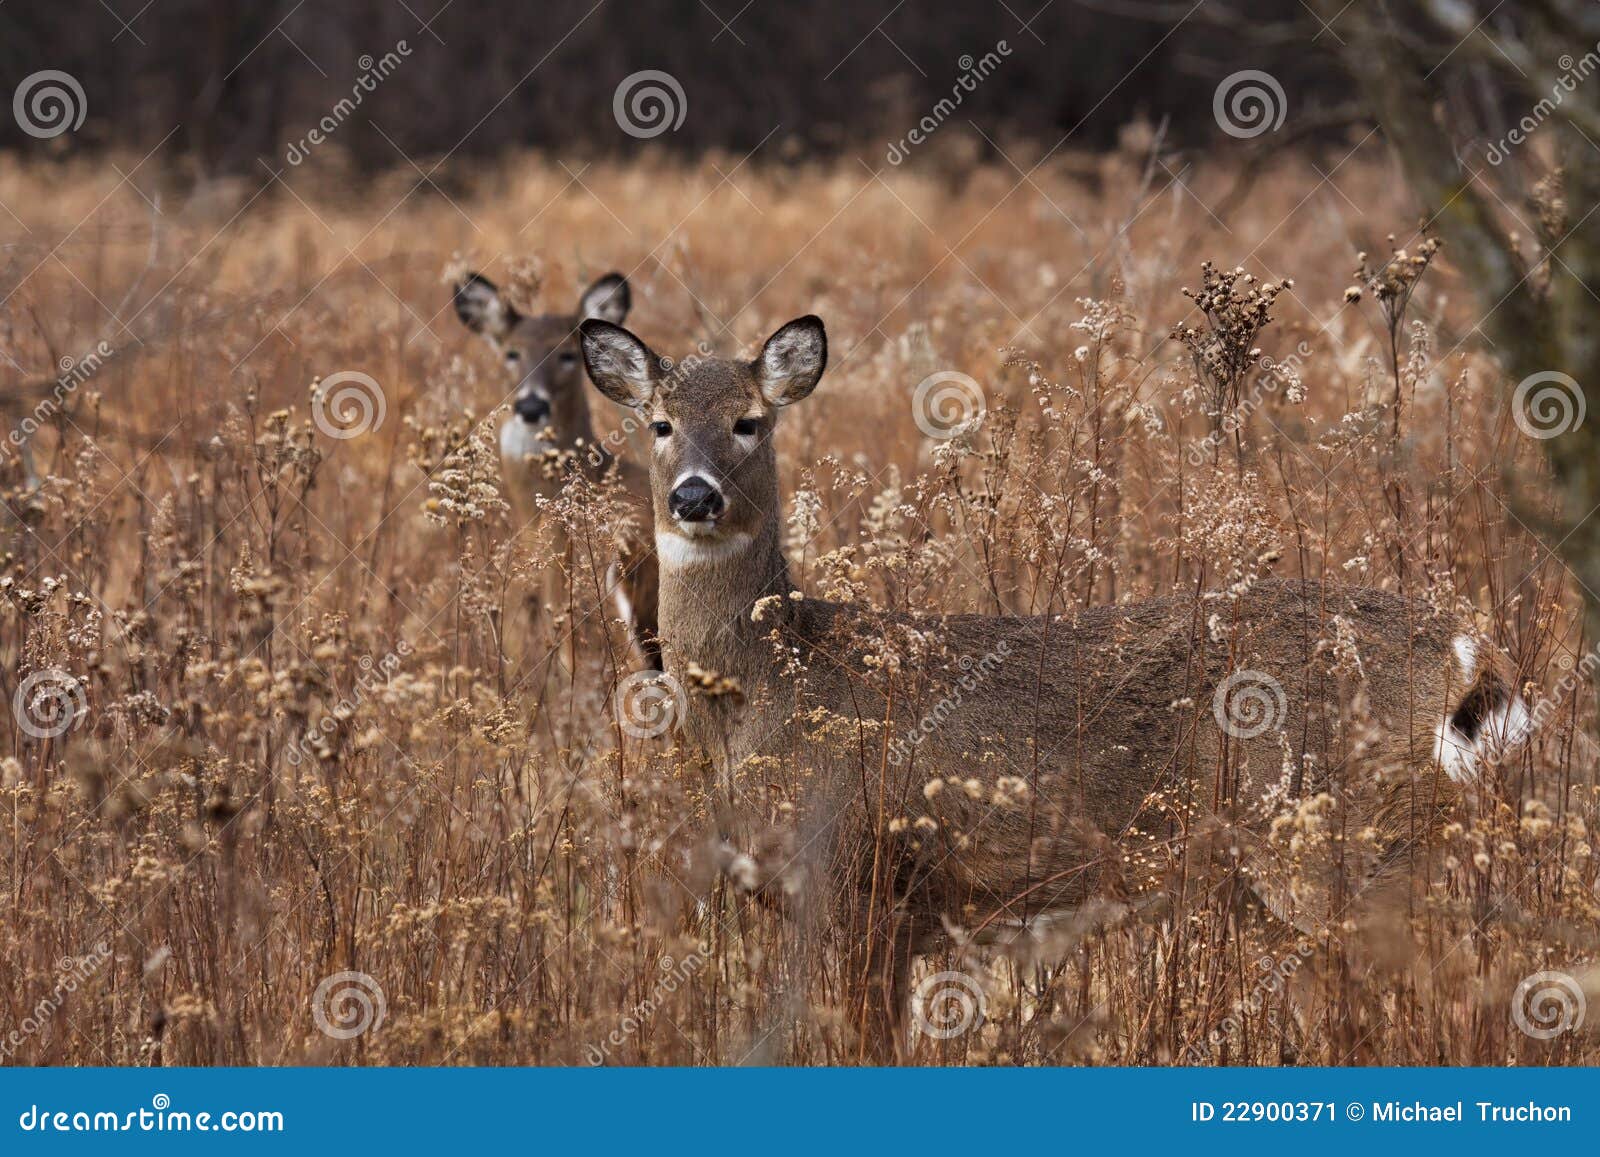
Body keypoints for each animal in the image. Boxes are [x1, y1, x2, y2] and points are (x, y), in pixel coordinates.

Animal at [578, 312, 1530, 1062]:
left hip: (1337, 837)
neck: (765, 686)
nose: (694, 497)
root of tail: (1467, 650)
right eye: (658, 424)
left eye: (748, 421)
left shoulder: (852, 880)